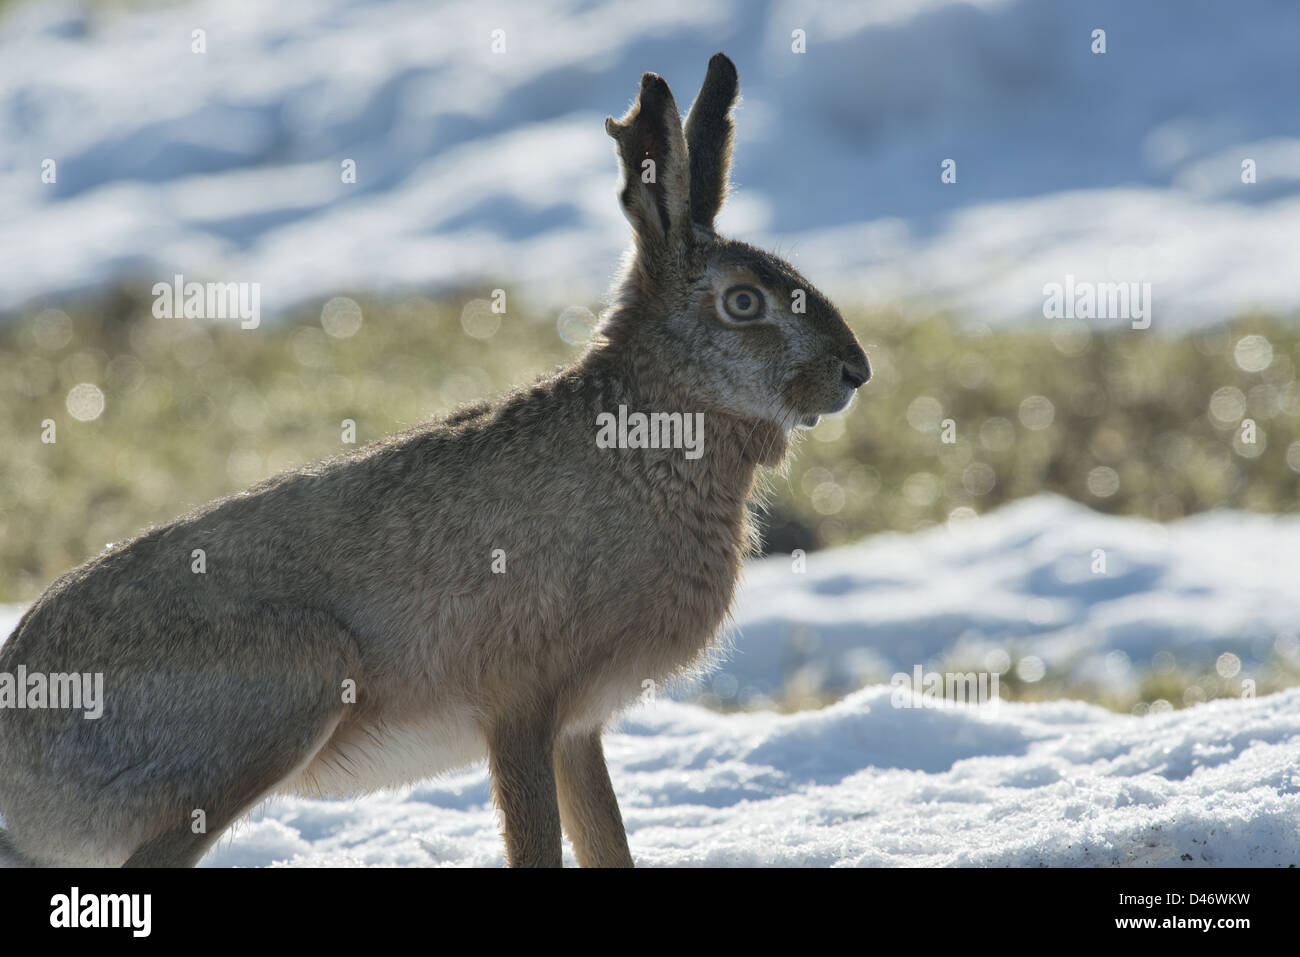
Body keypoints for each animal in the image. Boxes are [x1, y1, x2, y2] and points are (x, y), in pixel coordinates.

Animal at [0, 52, 869, 868]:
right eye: (744, 302)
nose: (856, 372)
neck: (658, 421)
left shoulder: (577, 727)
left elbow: (606, 840)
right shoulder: (521, 703)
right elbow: (536, 841)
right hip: (289, 687)